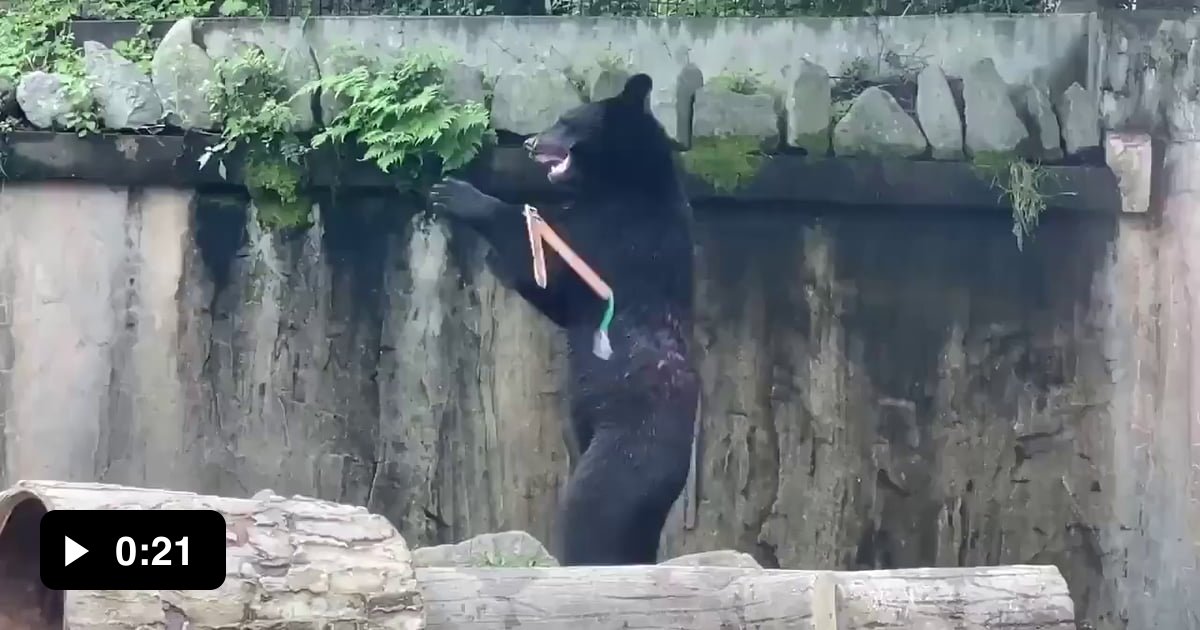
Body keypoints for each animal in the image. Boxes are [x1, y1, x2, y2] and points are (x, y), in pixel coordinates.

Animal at [427, 73, 699, 566]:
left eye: (566, 119)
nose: (530, 142)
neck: (623, 181)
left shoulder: (617, 232)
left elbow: (553, 265)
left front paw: (460, 196)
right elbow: (556, 299)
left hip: (625, 447)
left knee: (589, 509)